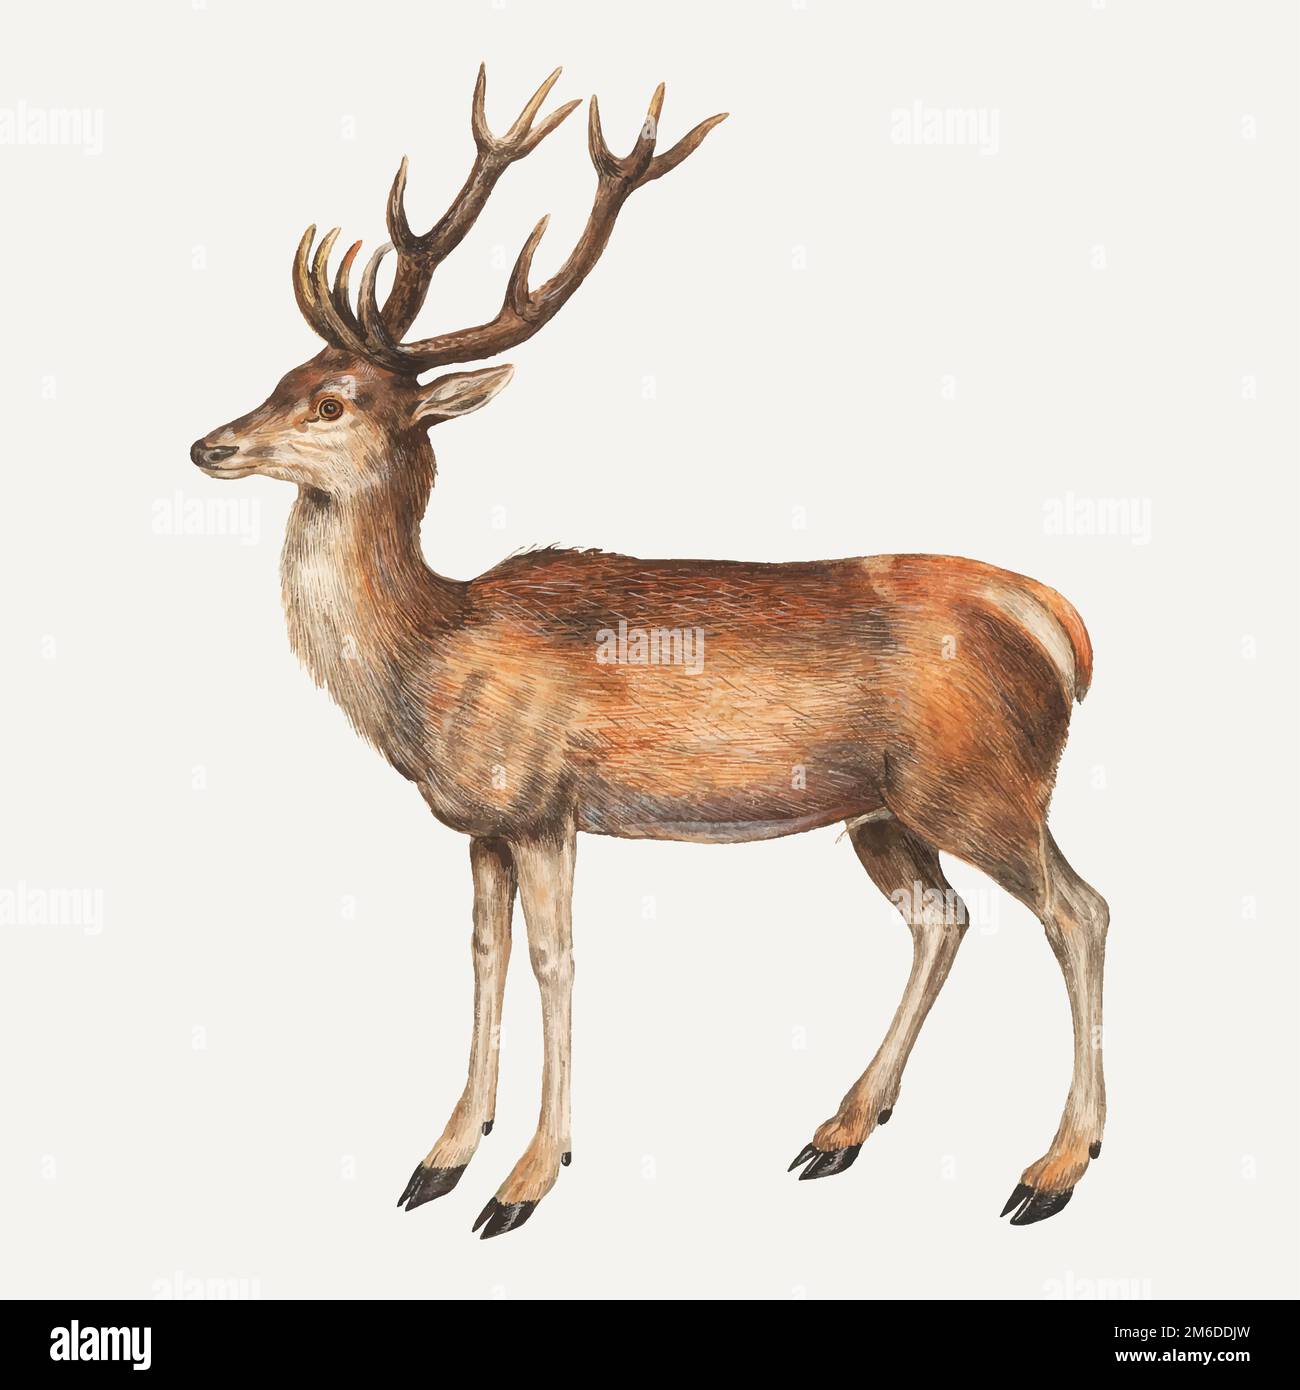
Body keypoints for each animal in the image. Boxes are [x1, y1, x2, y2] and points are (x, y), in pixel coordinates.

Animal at [191, 67, 1108, 1239]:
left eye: (331, 401)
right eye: (283, 372)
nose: (208, 444)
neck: (429, 657)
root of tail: (1054, 622)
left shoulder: (543, 799)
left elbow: (555, 963)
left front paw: (527, 1179)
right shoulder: (480, 821)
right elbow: (483, 956)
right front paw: (442, 1155)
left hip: (982, 781)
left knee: (1078, 910)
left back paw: (1053, 1167)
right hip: (882, 809)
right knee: (943, 919)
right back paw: (840, 1130)